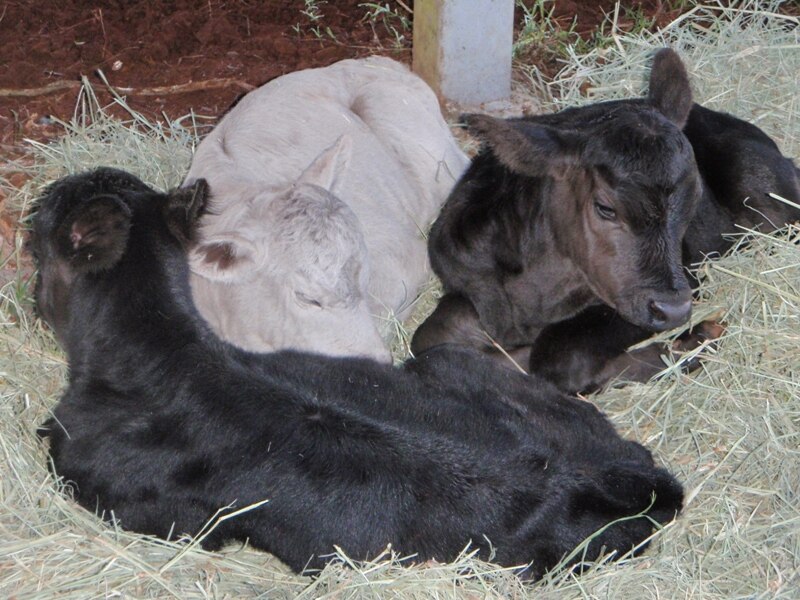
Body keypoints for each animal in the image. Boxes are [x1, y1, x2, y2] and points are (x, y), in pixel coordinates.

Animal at [411, 48, 800, 394]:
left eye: (694, 197)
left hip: (761, 185)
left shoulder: (679, 280)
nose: (674, 310)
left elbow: (560, 355)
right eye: (605, 208)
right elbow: (429, 341)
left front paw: (692, 342)